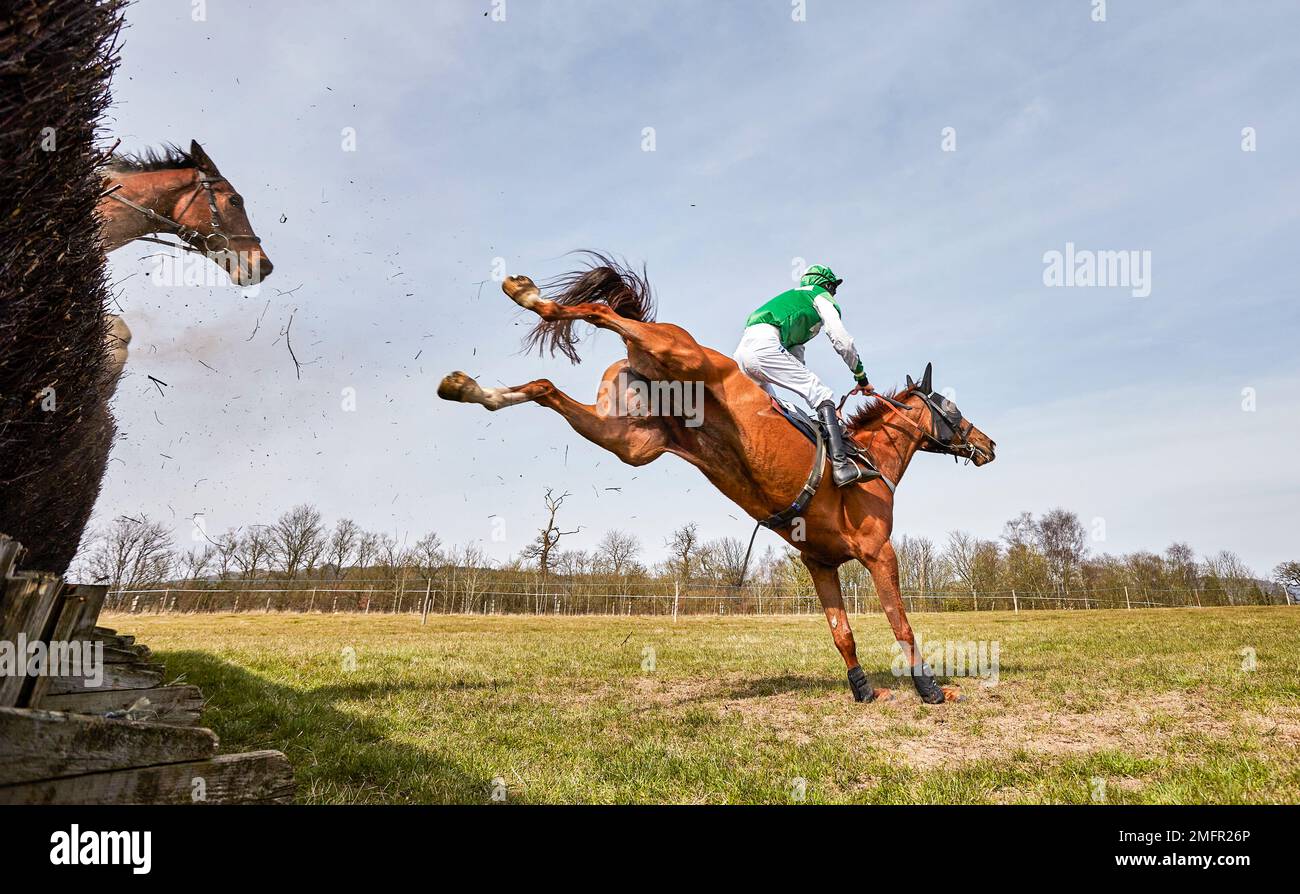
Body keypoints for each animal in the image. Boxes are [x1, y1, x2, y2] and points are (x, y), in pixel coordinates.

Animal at [437, 253, 996, 703]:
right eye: (952, 408)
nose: (989, 445)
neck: (873, 456)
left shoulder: (819, 562)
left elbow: (843, 633)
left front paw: (863, 689)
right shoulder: (880, 552)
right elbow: (900, 623)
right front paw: (931, 689)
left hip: (632, 442)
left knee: (546, 387)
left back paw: (470, 388)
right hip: (679, 353)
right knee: (601, 314)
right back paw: (527, 296)